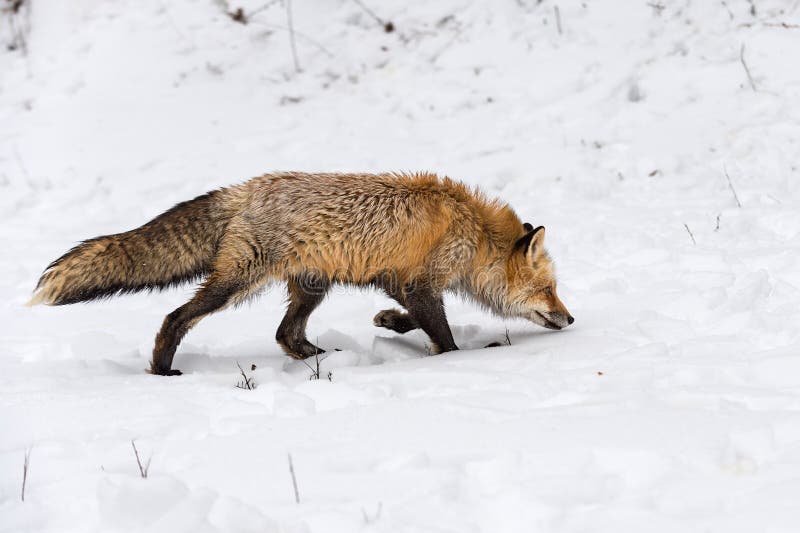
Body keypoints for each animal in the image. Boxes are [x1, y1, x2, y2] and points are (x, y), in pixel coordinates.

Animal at [30, 172, 573, 375]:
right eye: (549, 289)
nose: (569, 320)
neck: (473, 232)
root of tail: (245, 189)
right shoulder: (417, 282)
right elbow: (443, 334)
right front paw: (448, 357)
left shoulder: (401, 280)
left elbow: (413, 318)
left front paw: (388, 324)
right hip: (237, 282)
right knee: (176, 318)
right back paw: (162, 370)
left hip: (313, 285)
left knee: (285, 333)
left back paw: (317, 358)